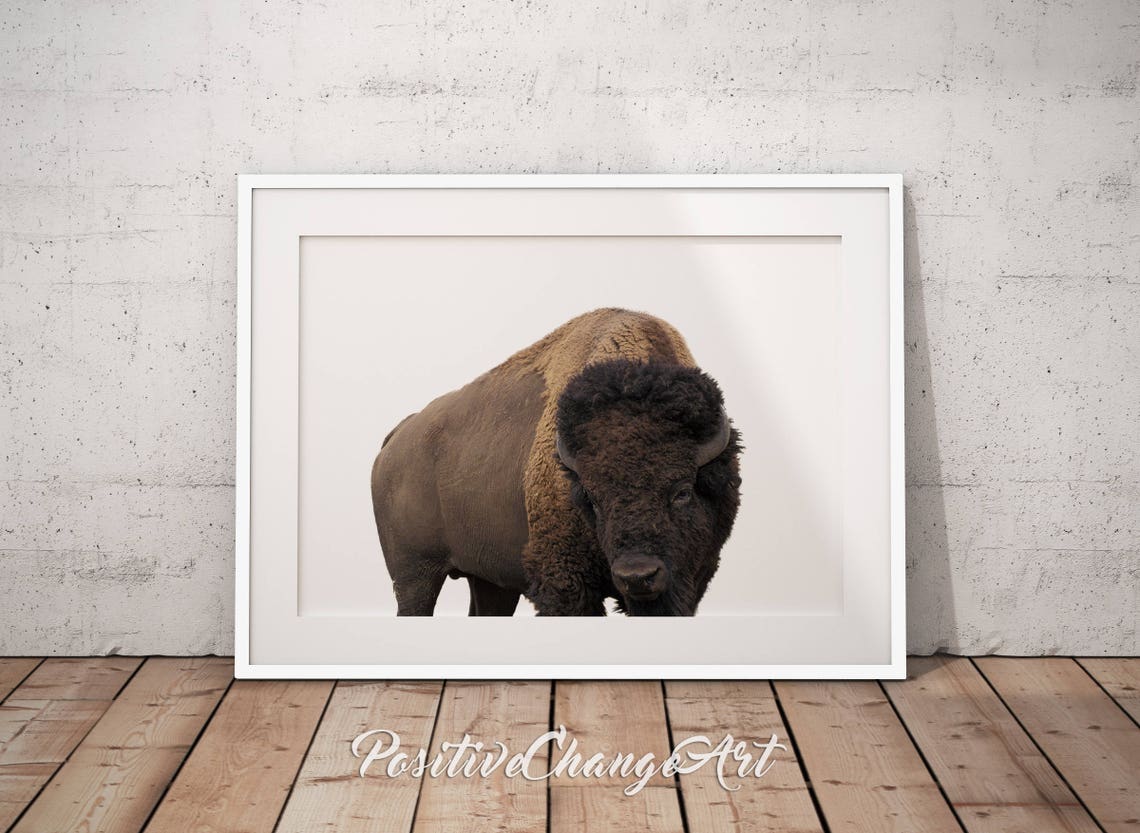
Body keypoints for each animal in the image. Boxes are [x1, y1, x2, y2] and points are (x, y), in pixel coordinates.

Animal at [370, 308, 742, 616]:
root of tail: (396, 438)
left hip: (489, 579)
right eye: (591, 497)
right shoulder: (565, 584)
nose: (637, 576)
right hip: (415, 577)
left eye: (682, 491)